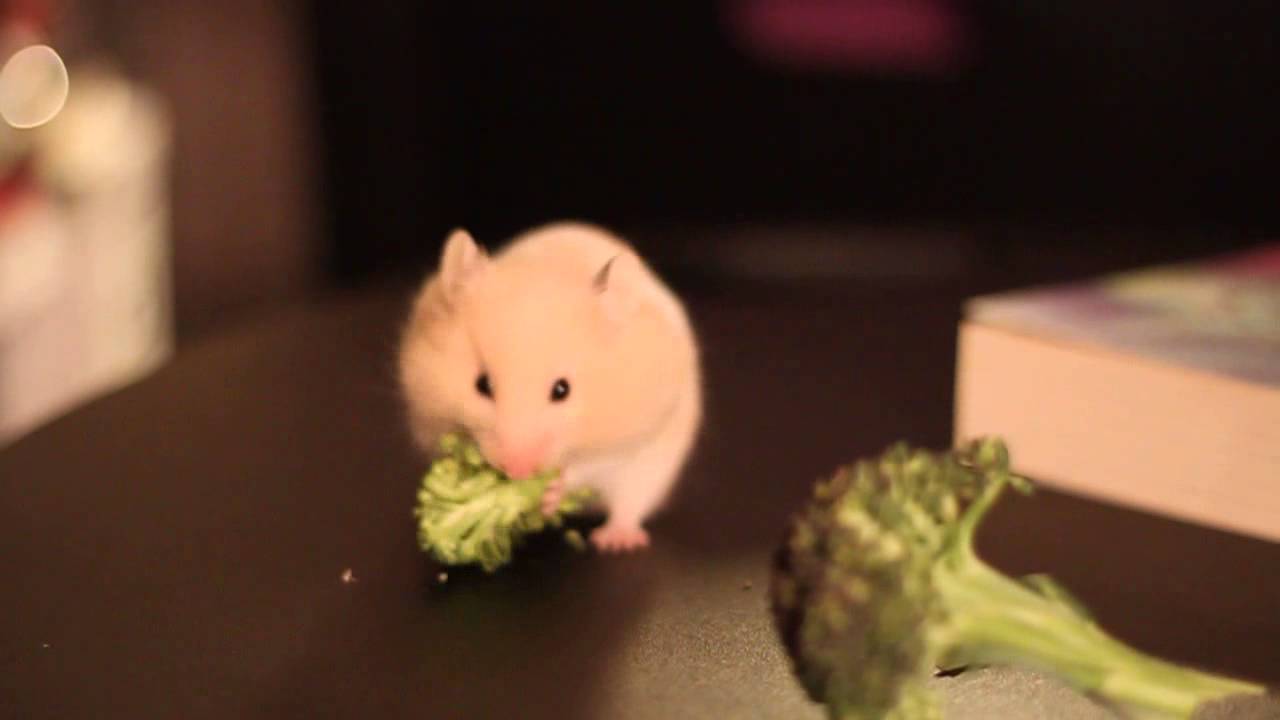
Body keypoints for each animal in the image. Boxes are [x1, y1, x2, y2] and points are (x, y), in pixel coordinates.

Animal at [398, 221, 703, 551]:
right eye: (482, 385)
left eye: (562, 390)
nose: (517, 472)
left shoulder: (631, 437)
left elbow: (588, 467)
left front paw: (550, 495)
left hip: (650, 472)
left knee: (628, 506)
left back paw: (615, 541)